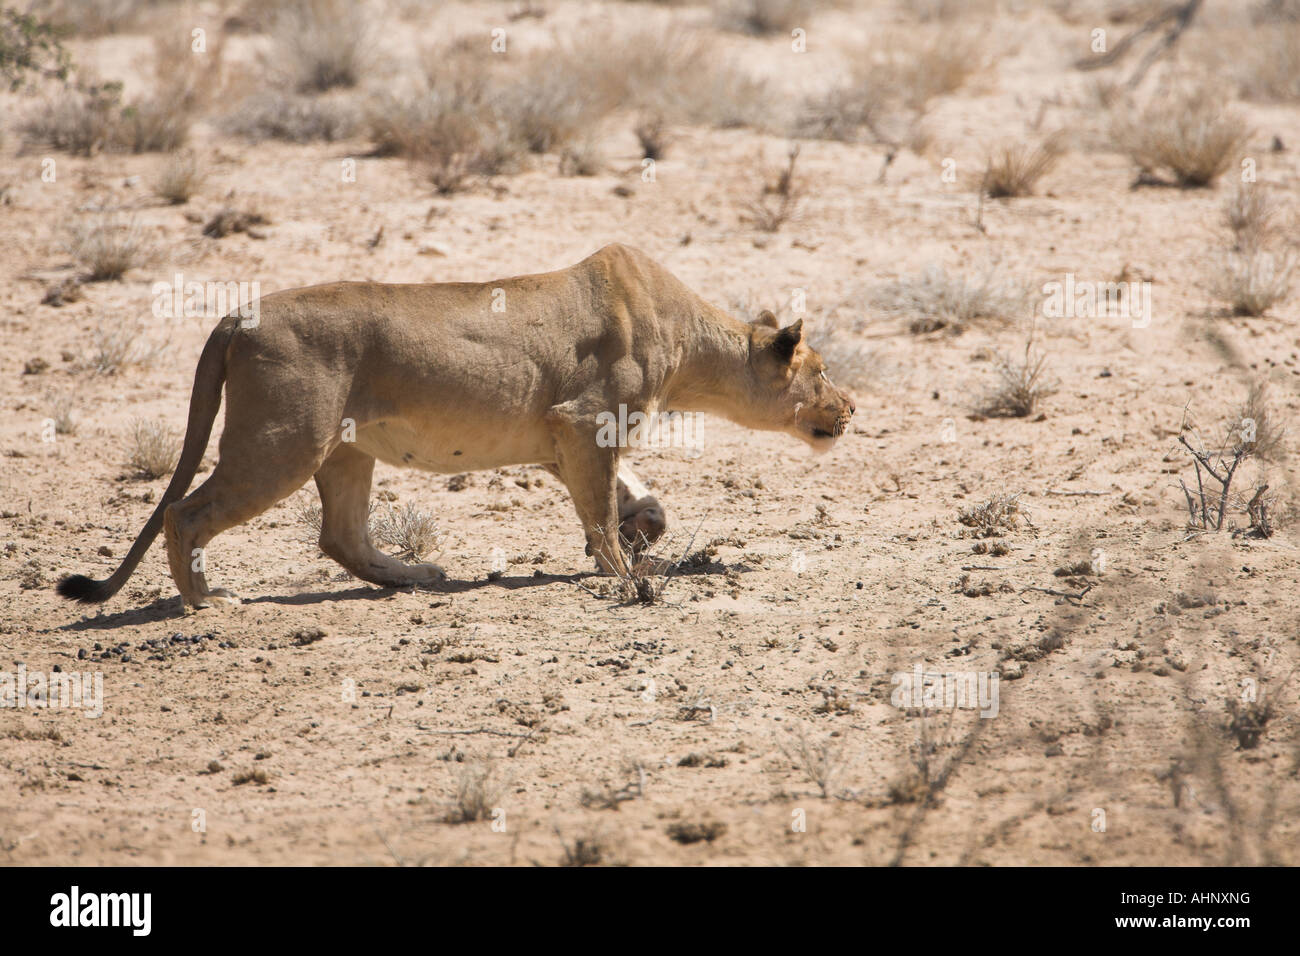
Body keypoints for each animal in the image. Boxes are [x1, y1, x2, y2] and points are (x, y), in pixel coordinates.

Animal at [57, 244, 855, 609]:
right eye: (820, 370)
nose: (850, 407)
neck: (690, 340)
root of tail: (235, 314)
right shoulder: (585, 420)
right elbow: (600, 511)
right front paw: (629, 577)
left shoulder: (566, 436)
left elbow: (630, 500)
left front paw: (640, 542)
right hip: (282, 443)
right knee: (187, 513)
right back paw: (209, 601)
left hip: (344, 450)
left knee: (340, 535)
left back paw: (416, 576)